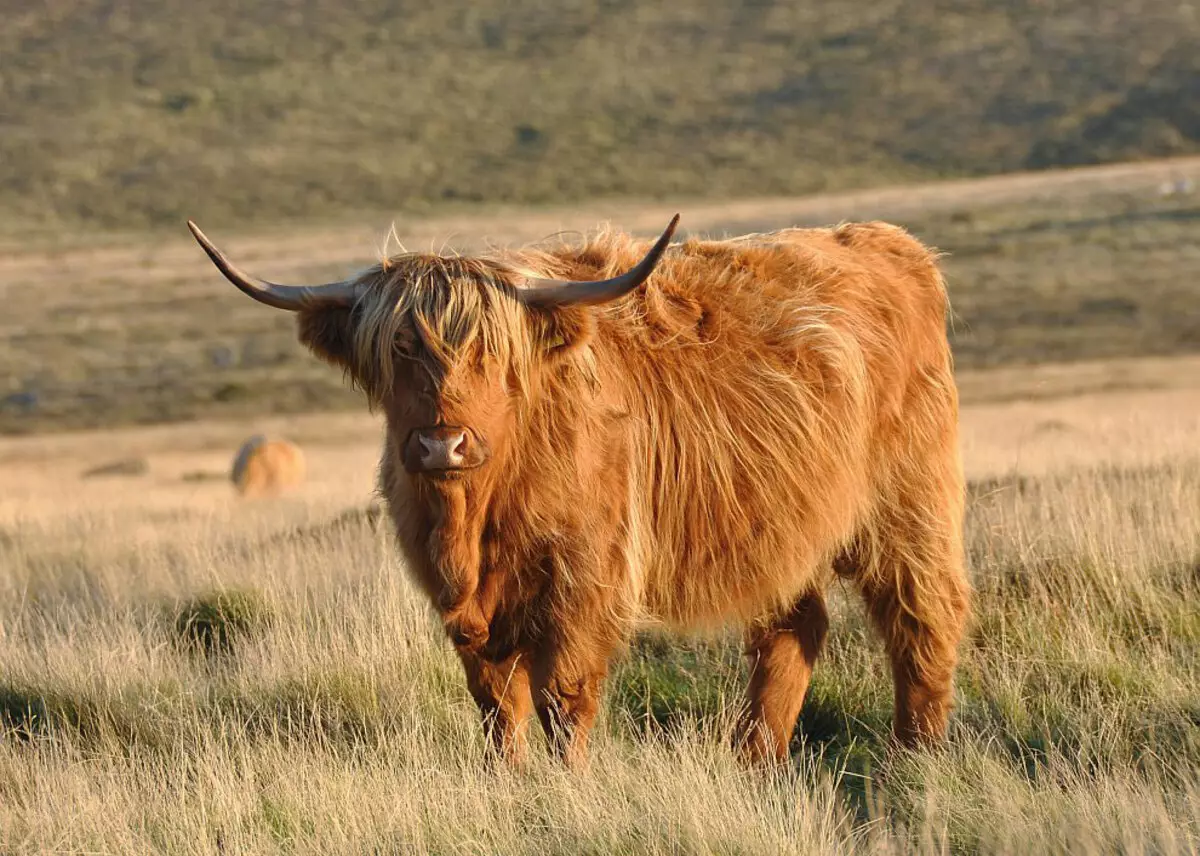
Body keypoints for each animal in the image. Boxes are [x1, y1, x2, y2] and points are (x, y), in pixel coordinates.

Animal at [189, 214, 974, 768]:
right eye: (401, 348)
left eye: (491, 353)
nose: (443, 444)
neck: (474, 521)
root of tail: (891, 245)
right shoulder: (462, 604)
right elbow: (495, 702)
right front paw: (505, 784)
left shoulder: (584, 578)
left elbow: (562, 697)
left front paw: (569, 786)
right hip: (781, 523)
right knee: (793, 628)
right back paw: (755, 758)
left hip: (908, 505)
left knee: (923, 617)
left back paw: (916, 756)